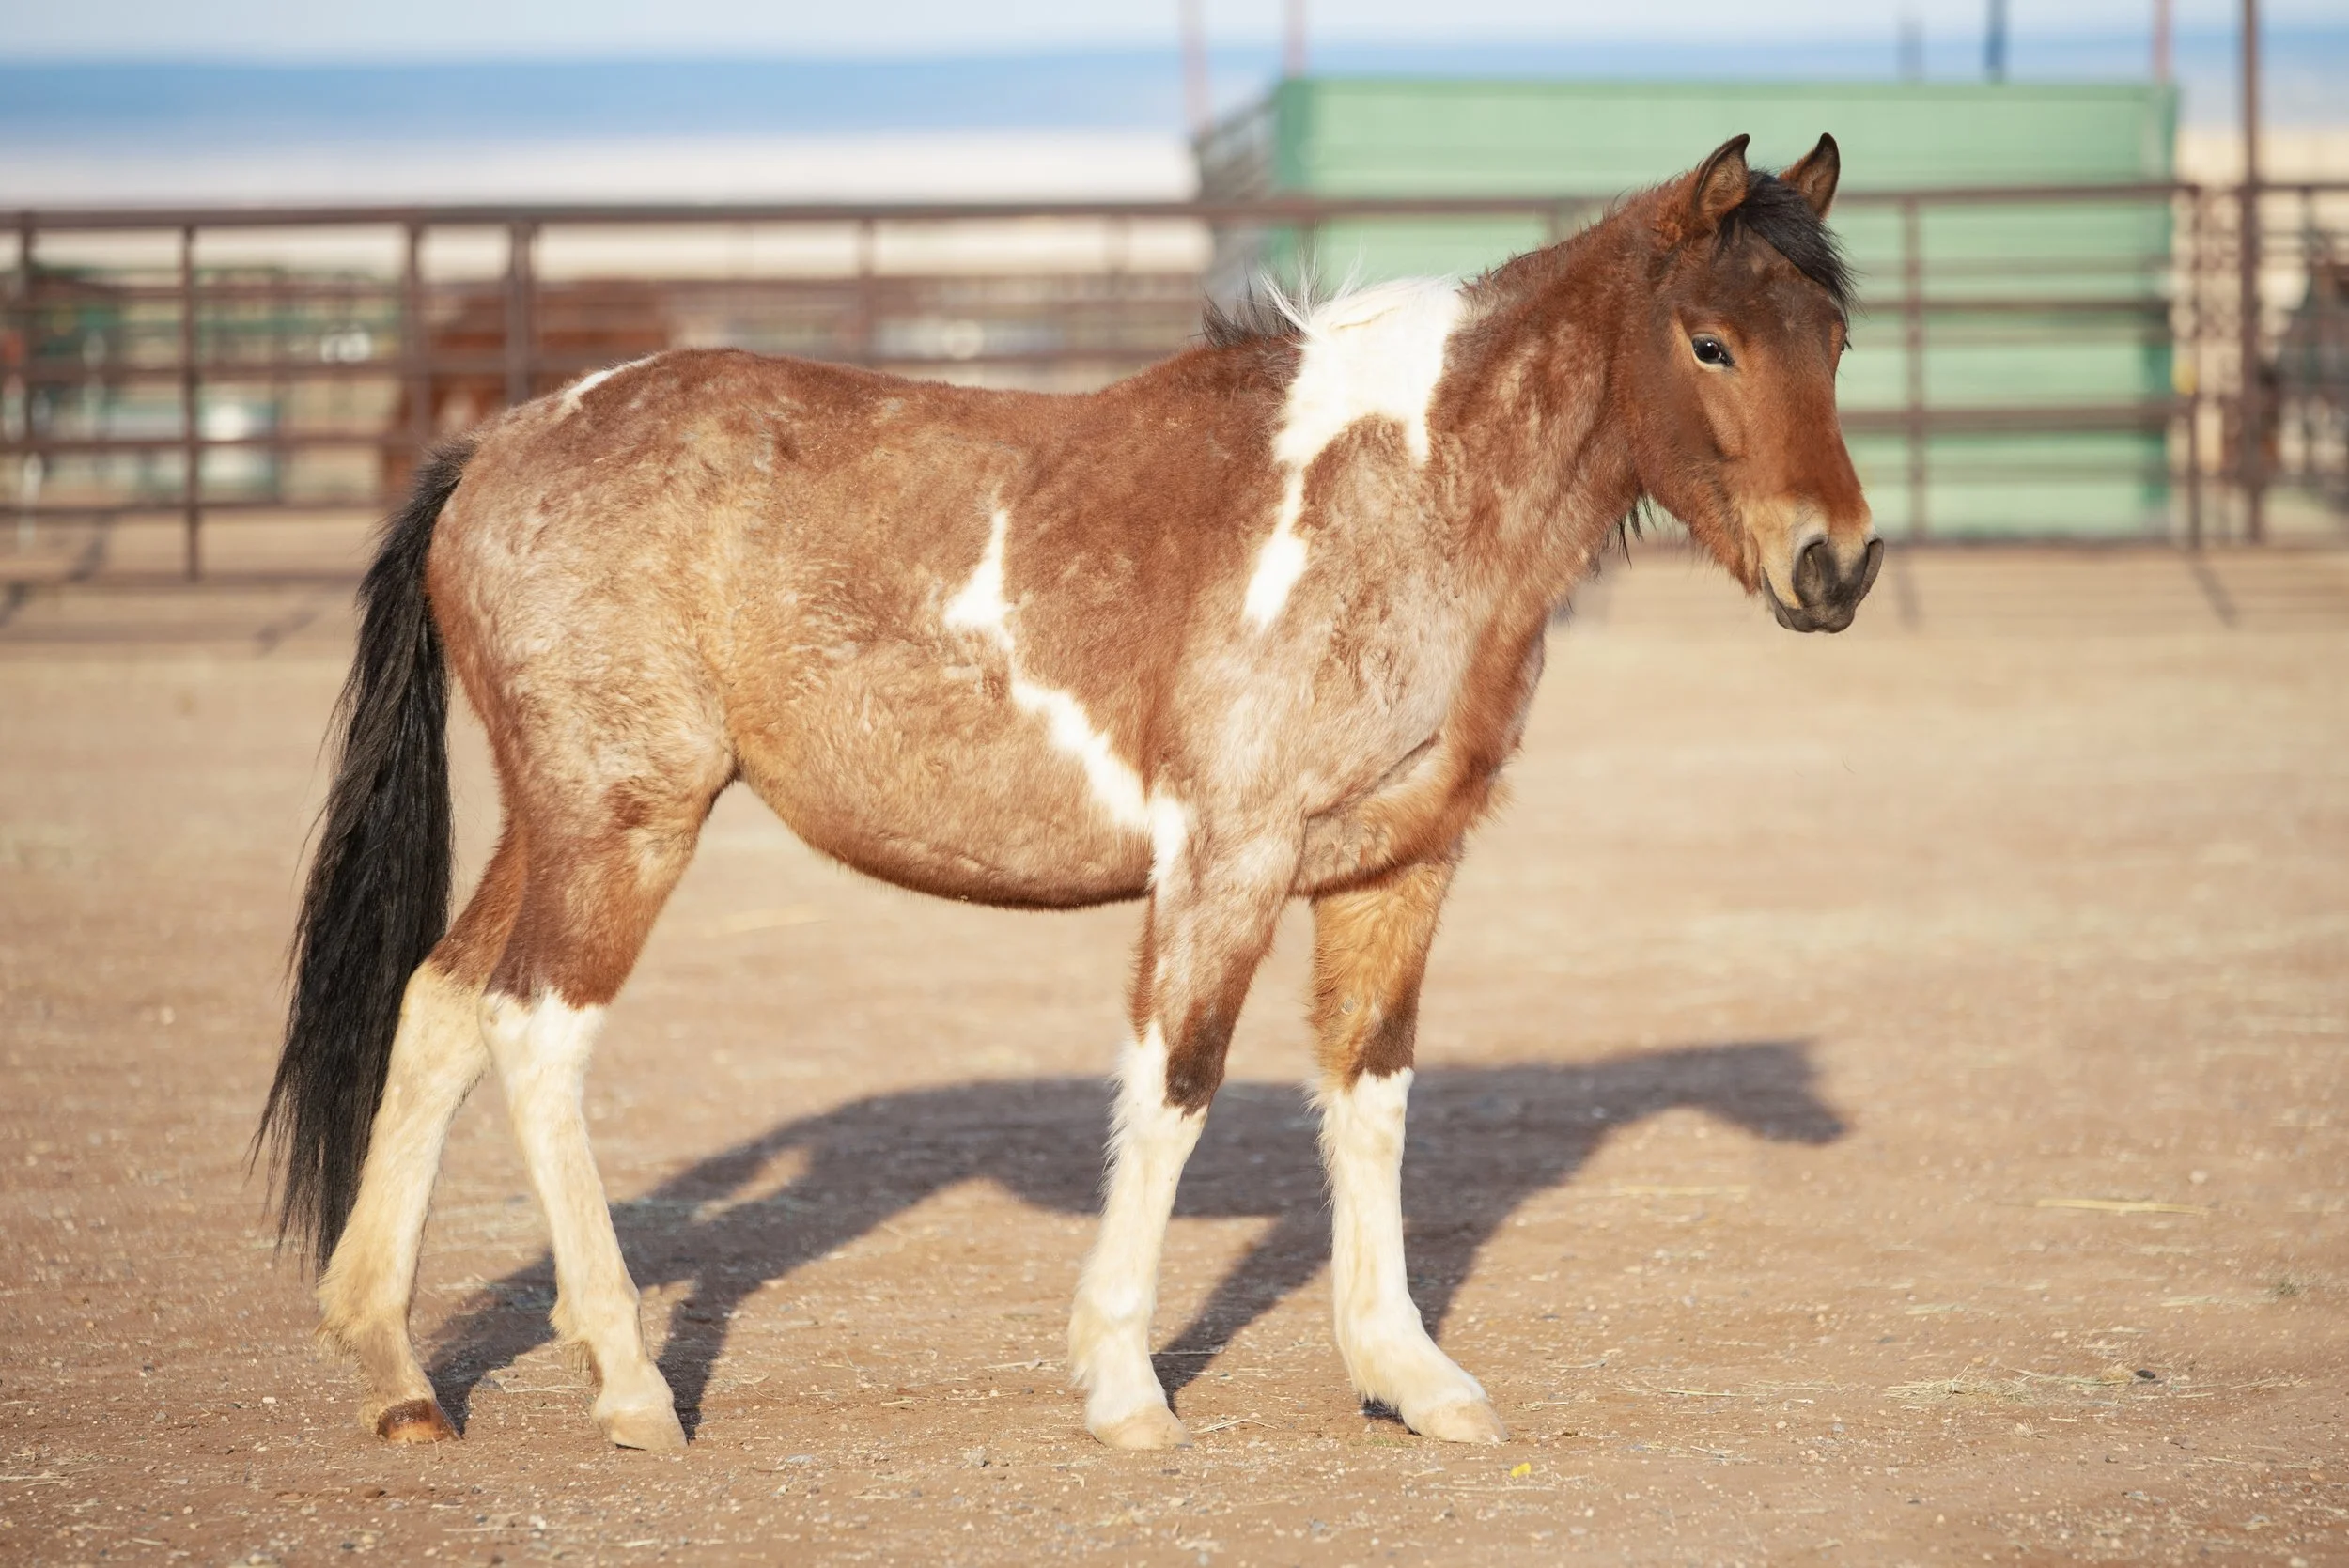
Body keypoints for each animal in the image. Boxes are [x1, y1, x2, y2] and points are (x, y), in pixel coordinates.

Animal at [258, 132, 1877, 1456]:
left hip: (558, 820)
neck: (1397, 497)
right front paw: (1124, 1387)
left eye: (1839, 336)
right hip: (623, 827)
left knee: (440, 1007)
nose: (1838, 565)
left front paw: (1410, 1377)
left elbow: (1371, 1104)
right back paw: (629, 1383)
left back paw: (398, 1376)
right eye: (1712, 341)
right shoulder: (1226, 863)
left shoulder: (1395, 873)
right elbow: (1176, 1089)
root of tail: (499, 442)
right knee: (536, 1033)